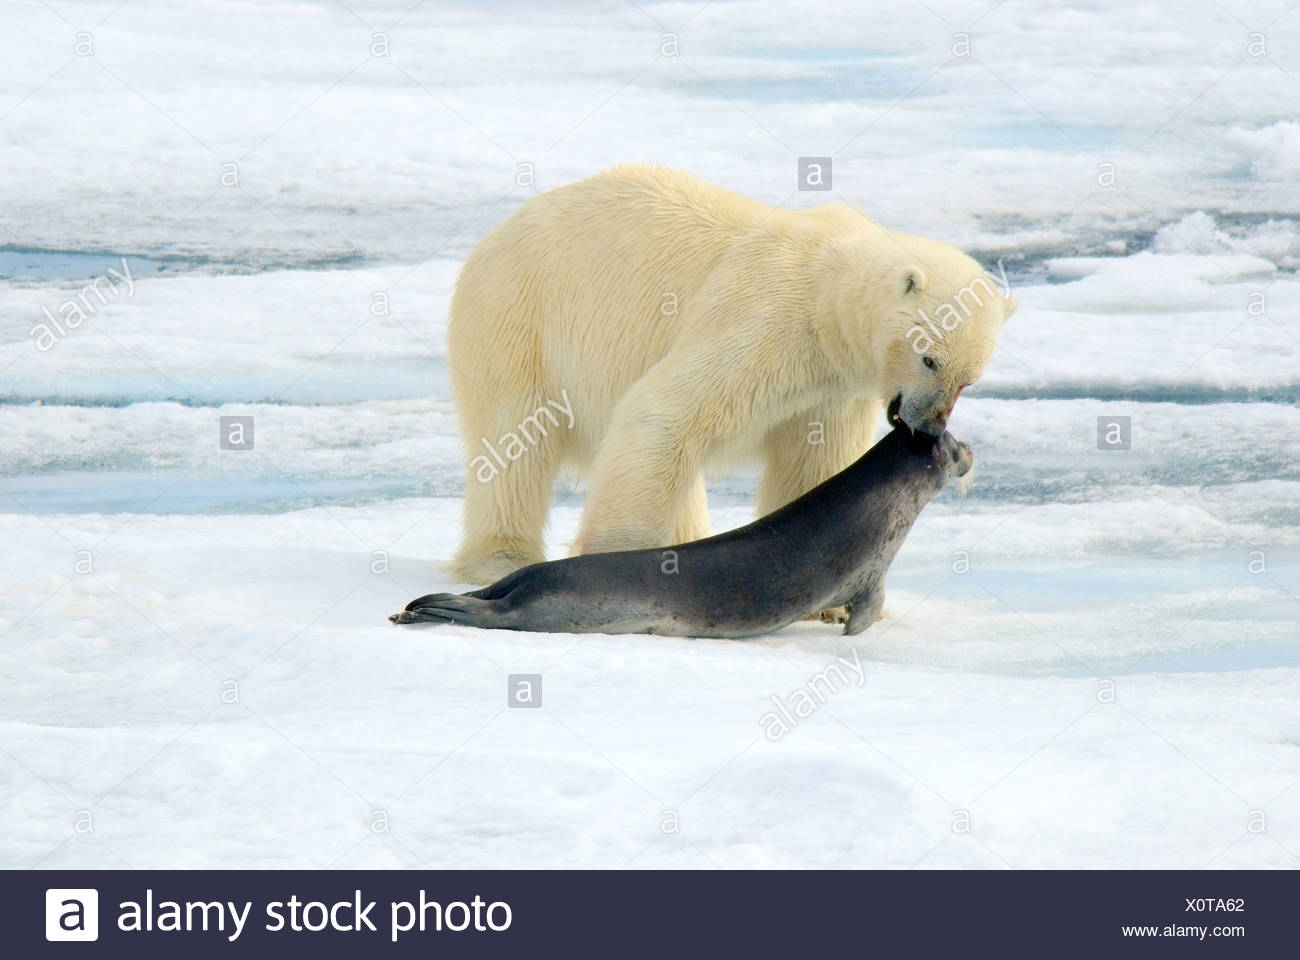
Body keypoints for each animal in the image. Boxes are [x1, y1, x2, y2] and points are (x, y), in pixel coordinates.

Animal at [446, 164, 1016, 585]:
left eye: (969, 378)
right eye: (928, 358)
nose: (928, 427)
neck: (826, 292)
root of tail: (497, 232)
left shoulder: (831, 387)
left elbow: (813, 459)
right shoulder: (766, 316)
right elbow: (665, 412)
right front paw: (616, 559)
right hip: (518, 318)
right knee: (515, 441)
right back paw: (501, 558)